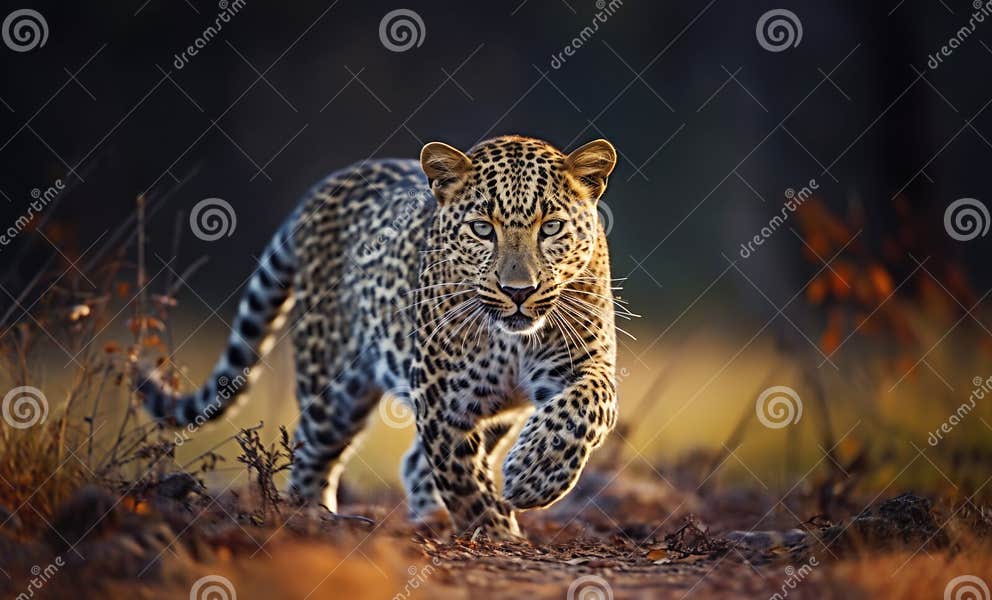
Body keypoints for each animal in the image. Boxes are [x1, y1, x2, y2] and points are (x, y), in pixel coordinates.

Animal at [137, 135, 620, 539]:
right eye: (483, 229)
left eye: (551, 227)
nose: (518, 291)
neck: (513, 340)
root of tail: (329, 184)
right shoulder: (442, 397)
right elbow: (462, 477)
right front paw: (496, 529)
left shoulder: (585, 364)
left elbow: (587, 405)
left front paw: (534, 474)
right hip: (334, 386)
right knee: (313, 455)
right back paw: (312, 519)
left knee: (412, 463)